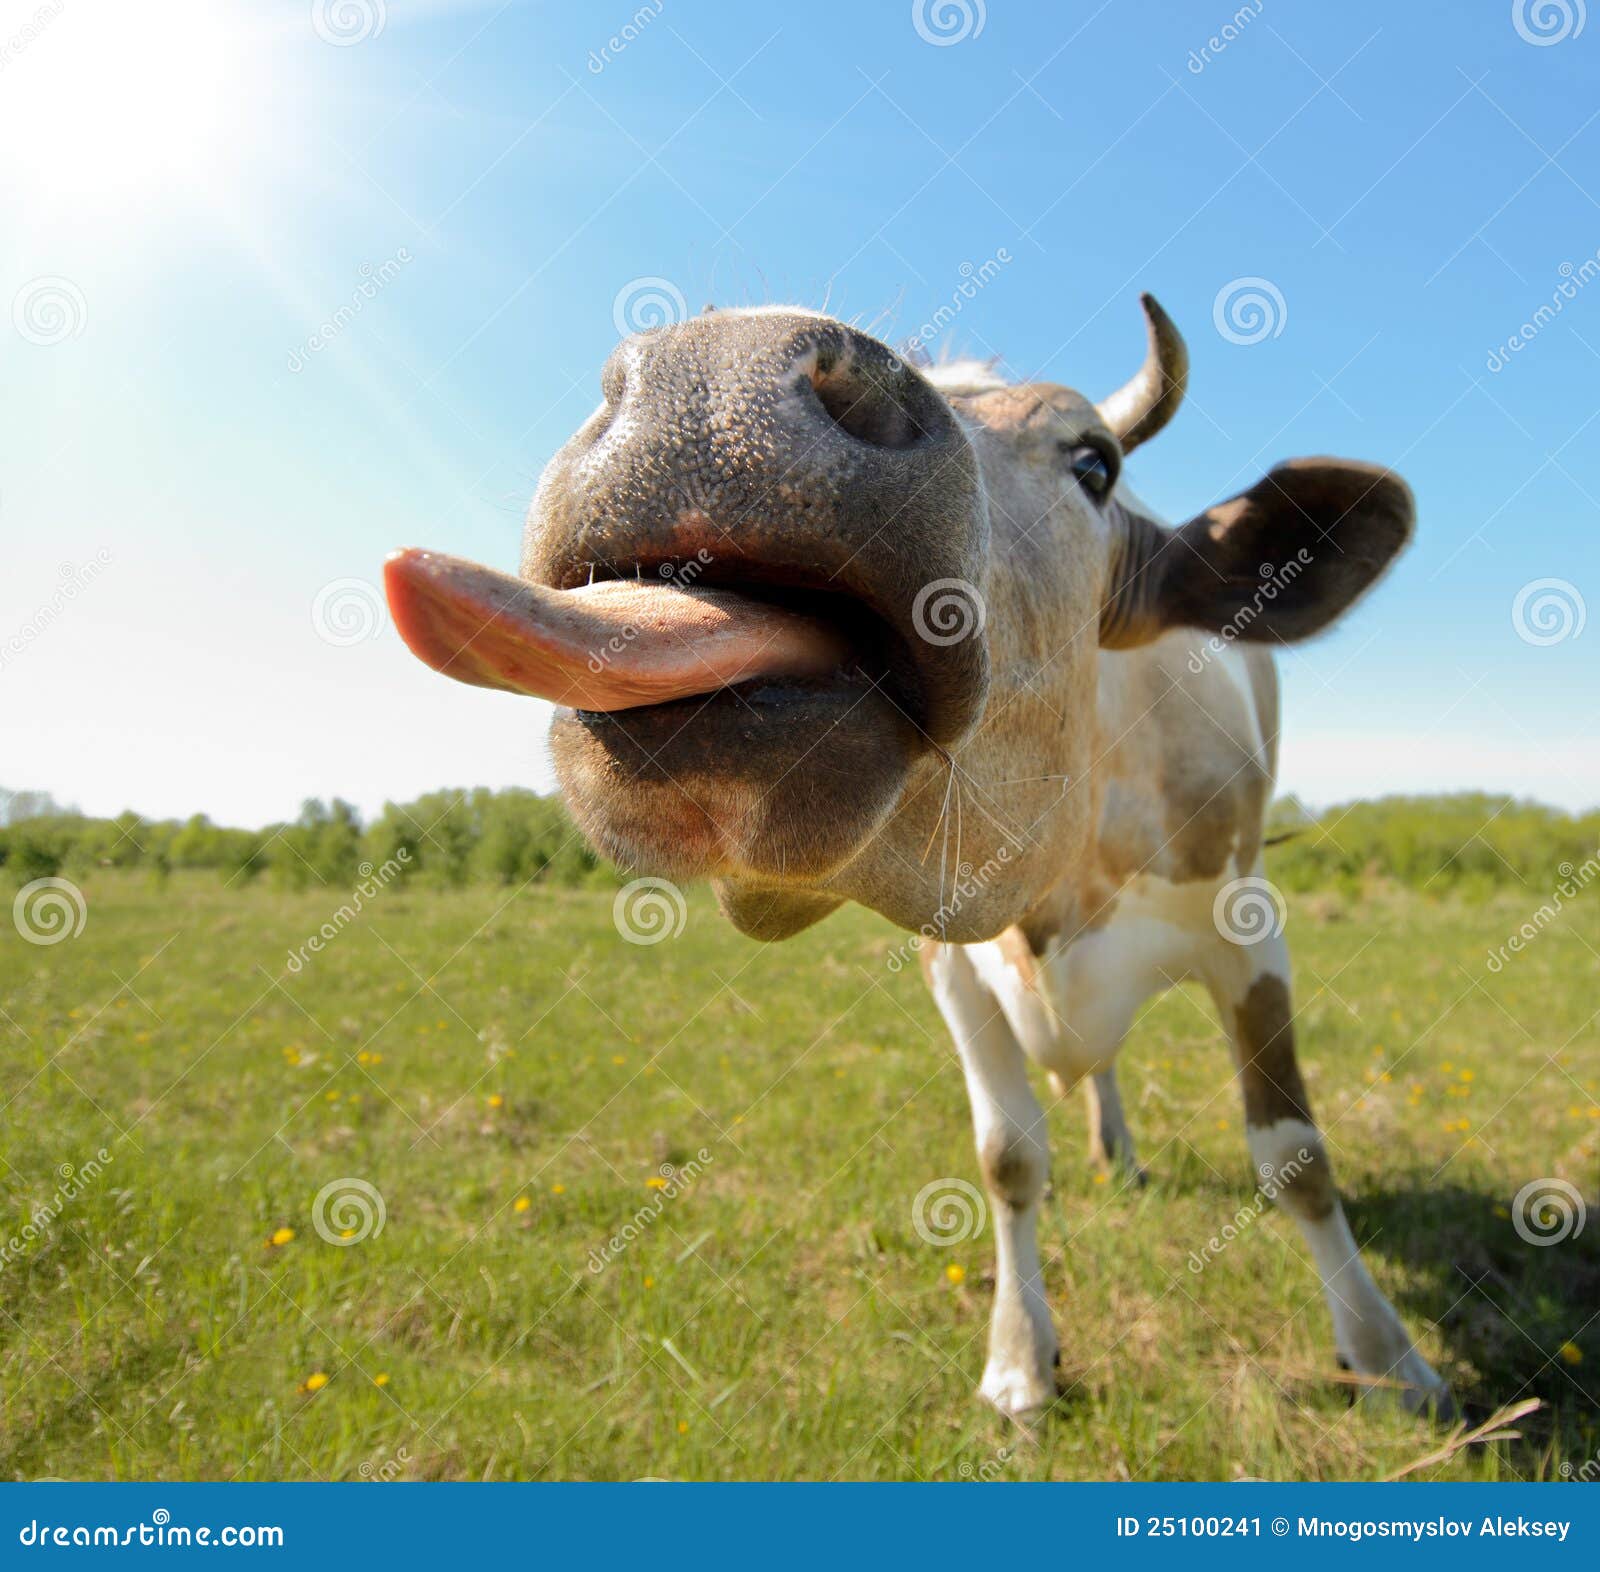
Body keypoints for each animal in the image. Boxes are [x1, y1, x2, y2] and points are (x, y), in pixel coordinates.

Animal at [384, 296, 1453, 1423]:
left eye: (1096, 464)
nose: (720, 375)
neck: (1062, 884)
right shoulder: (954, 962)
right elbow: (1006, 1157)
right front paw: (1021, 1361)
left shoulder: (1249, 927)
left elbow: (1296, 1155)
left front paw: (1388, 1356)